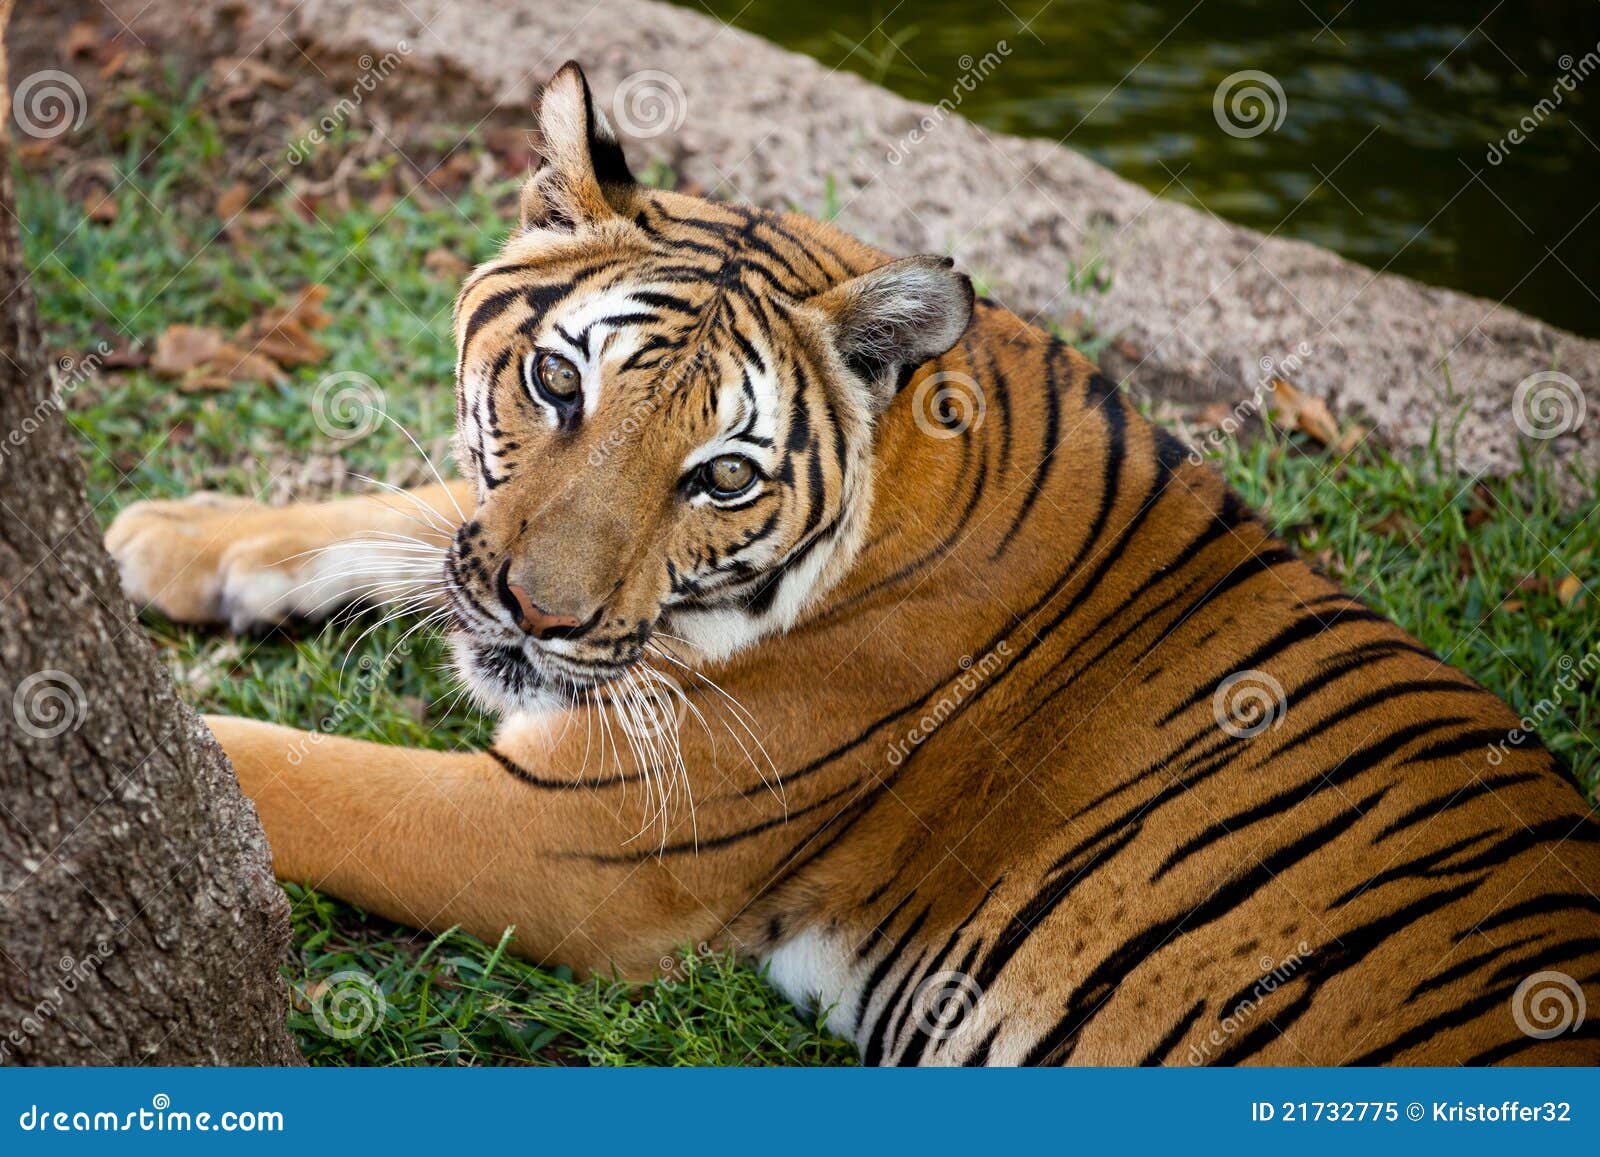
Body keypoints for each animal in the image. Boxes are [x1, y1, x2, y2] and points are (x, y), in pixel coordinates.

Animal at [105, 61, 1600, 1066]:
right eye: (552, 382)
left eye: (723, 476)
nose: (539, 614)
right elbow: (414, 509)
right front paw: (170, 535)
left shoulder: (573, 837)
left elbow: (281, 769)